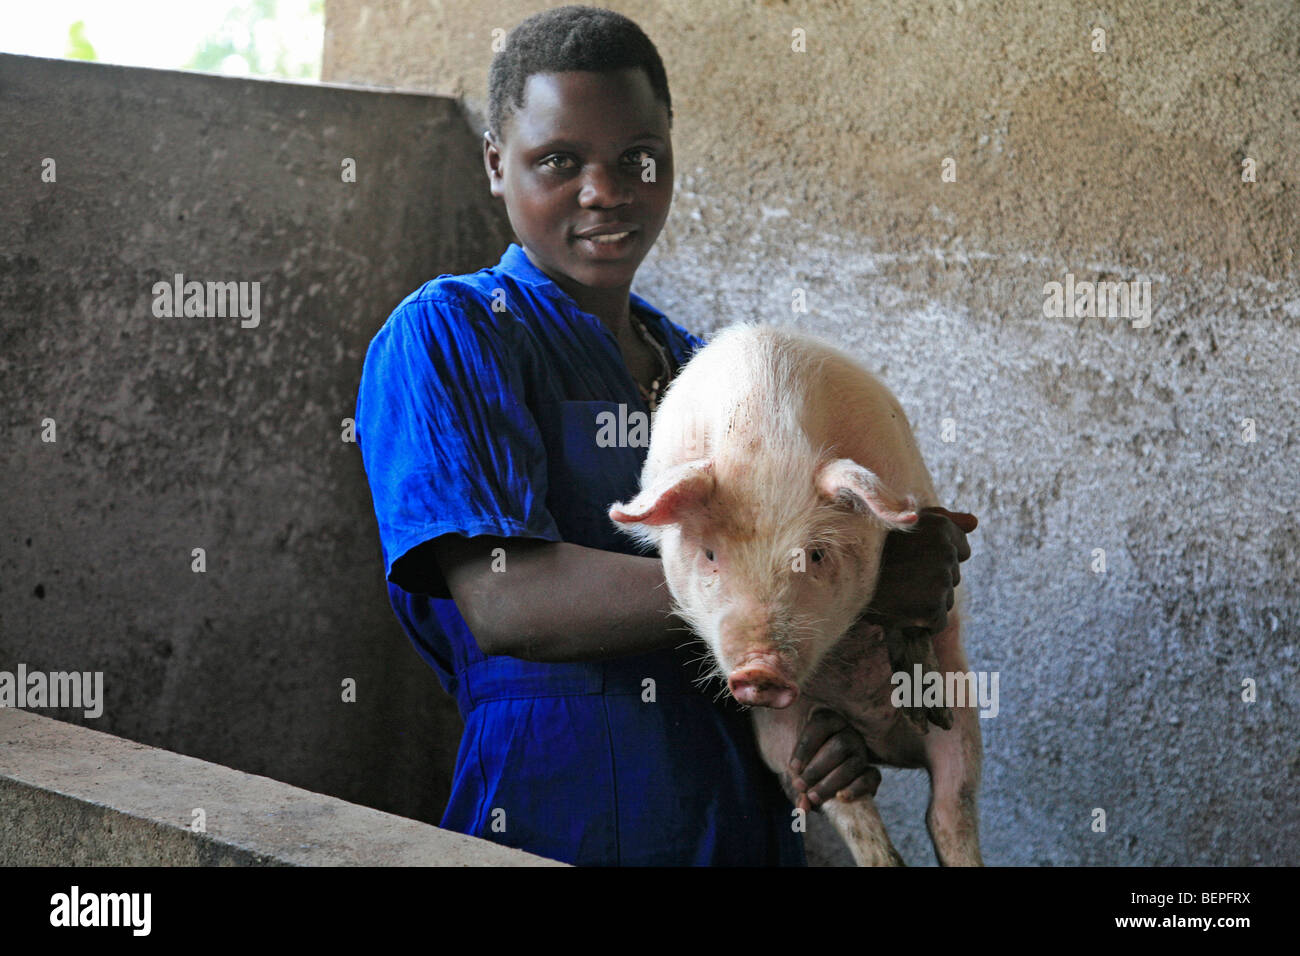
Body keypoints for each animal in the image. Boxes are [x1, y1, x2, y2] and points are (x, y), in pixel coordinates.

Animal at [609, 322, 983, 866]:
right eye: (710, 554)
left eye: (816, 555)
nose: (759, 670)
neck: (763, 436)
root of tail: (884, 741)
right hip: (785, 739)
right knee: (857, 813)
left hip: (963, 720)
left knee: (950, 808)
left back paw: (925, 718)